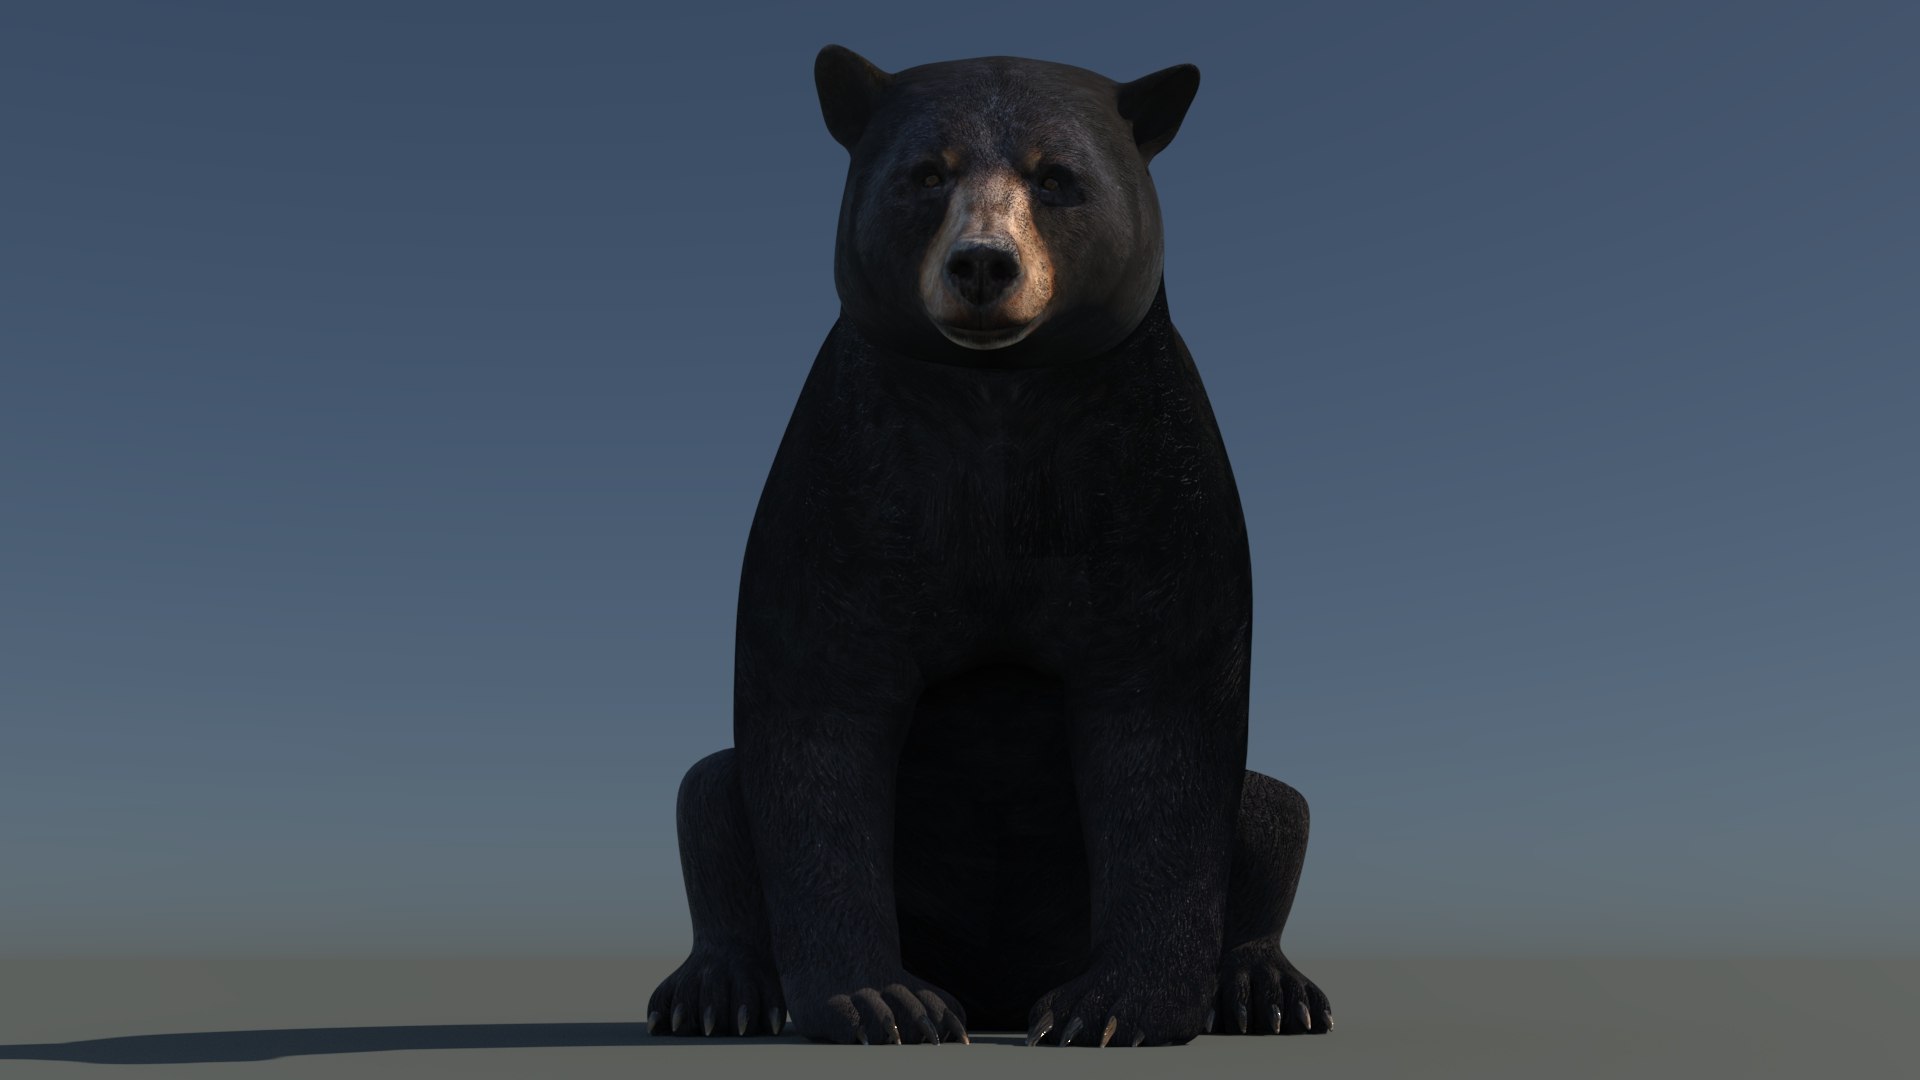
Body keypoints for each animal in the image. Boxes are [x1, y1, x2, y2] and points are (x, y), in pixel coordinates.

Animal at [645, 45, 1331, 1047]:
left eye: (1057, 178)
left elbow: (1165, 734)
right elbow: (816, 722)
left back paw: (1264, 989)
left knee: (1275, 807)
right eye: (927, 175)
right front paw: (883, 1004)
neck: (997, 402)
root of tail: (999, 985)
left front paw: (1113, 1009)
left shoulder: (1147, 480)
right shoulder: (850, 480)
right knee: (710, 793)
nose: (981, 265)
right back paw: (717, 991)